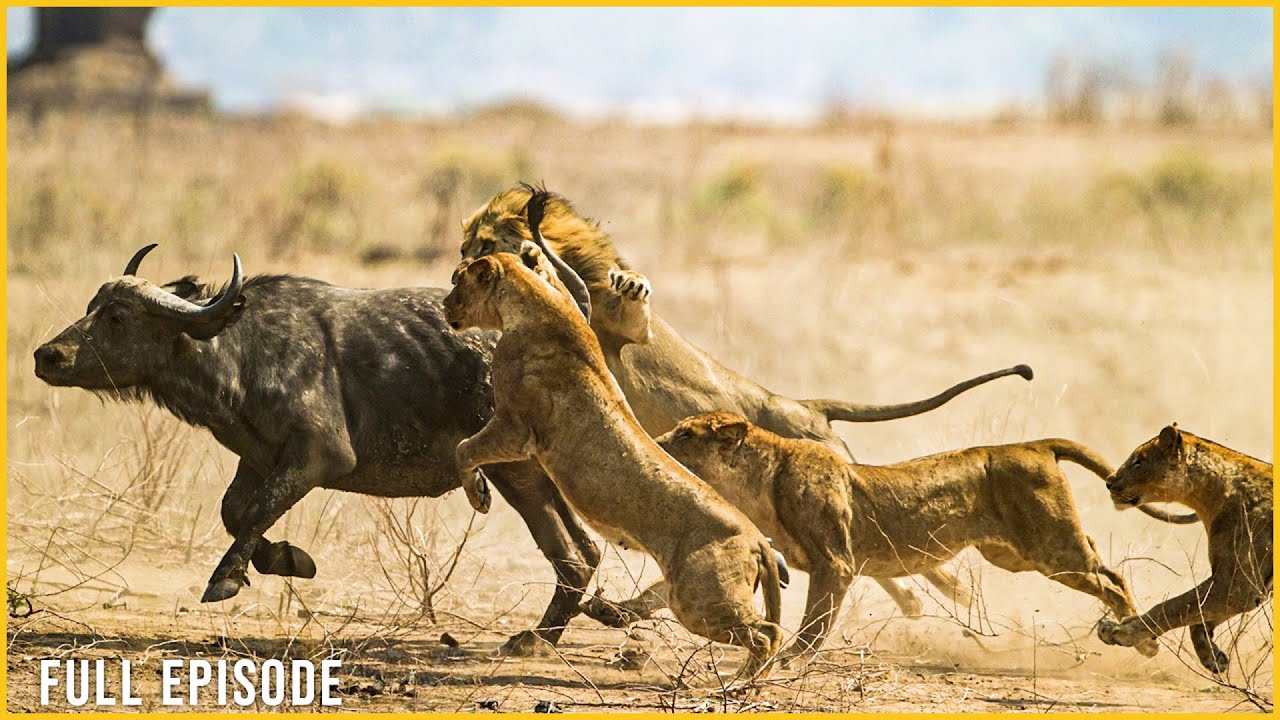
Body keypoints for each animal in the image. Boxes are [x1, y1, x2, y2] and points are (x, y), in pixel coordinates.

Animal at [442, 246, 786, 682]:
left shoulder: (515, 427)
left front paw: (479, 496)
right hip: (688, 589)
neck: (532, 304)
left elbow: (463, 449)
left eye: (458, 281)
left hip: (700, 600)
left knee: (767, 633)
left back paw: (738, 684)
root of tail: (757, 538)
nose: (444, 304)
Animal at [461, 184, 1034, 616]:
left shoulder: (631, 333)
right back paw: (921, 601)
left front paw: (622, 280)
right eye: (466, 244)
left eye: (481, 240)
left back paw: (953, 594)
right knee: (880, 560)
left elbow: (630, 305)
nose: (465, 261)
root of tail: (804, 405)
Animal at [583, 411, 1168, 661]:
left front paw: (789, 662)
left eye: (685, 434)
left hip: (1049, 549)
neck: (755, 482)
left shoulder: (835, 564)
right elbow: (658, 592)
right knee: (1105, 568)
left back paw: (1142, 642)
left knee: (1112, 580)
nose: (653, 442)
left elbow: (813, 626)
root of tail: (1034, 443)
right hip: (1013, 555)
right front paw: (613, 611)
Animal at [1097, 425, 1272, 673]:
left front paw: (1123, 632)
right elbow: (1196, 616)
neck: (1209, 495)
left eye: (1138, 461)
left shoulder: (1238, 586)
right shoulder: (1241, 587)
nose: (1109, 483)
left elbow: (1174, 606)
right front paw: (1212, 656)